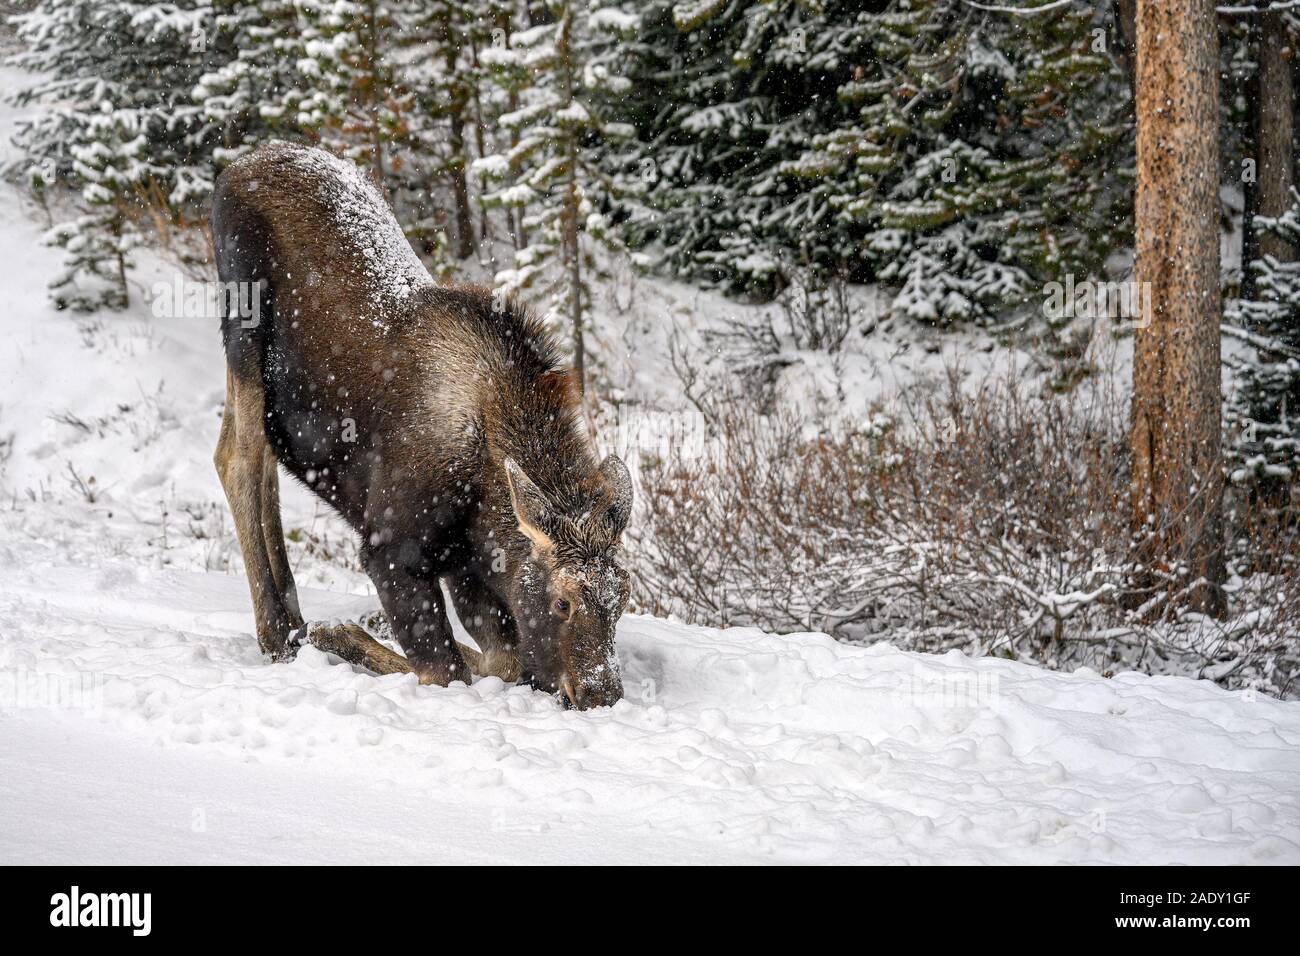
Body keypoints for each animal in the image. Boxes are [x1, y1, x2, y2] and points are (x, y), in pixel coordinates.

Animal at [209, 141, 632, 710]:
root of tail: (238, 167)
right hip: (244, 327)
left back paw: (296, 618)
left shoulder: (466, 566)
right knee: (237, 457)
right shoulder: (391, 548)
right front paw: (341, 634)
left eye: (622, 598)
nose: (601, 694)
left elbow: (502, 660)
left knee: (264, 464)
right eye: (562, 602)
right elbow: (446, 672)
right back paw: (279, 632)